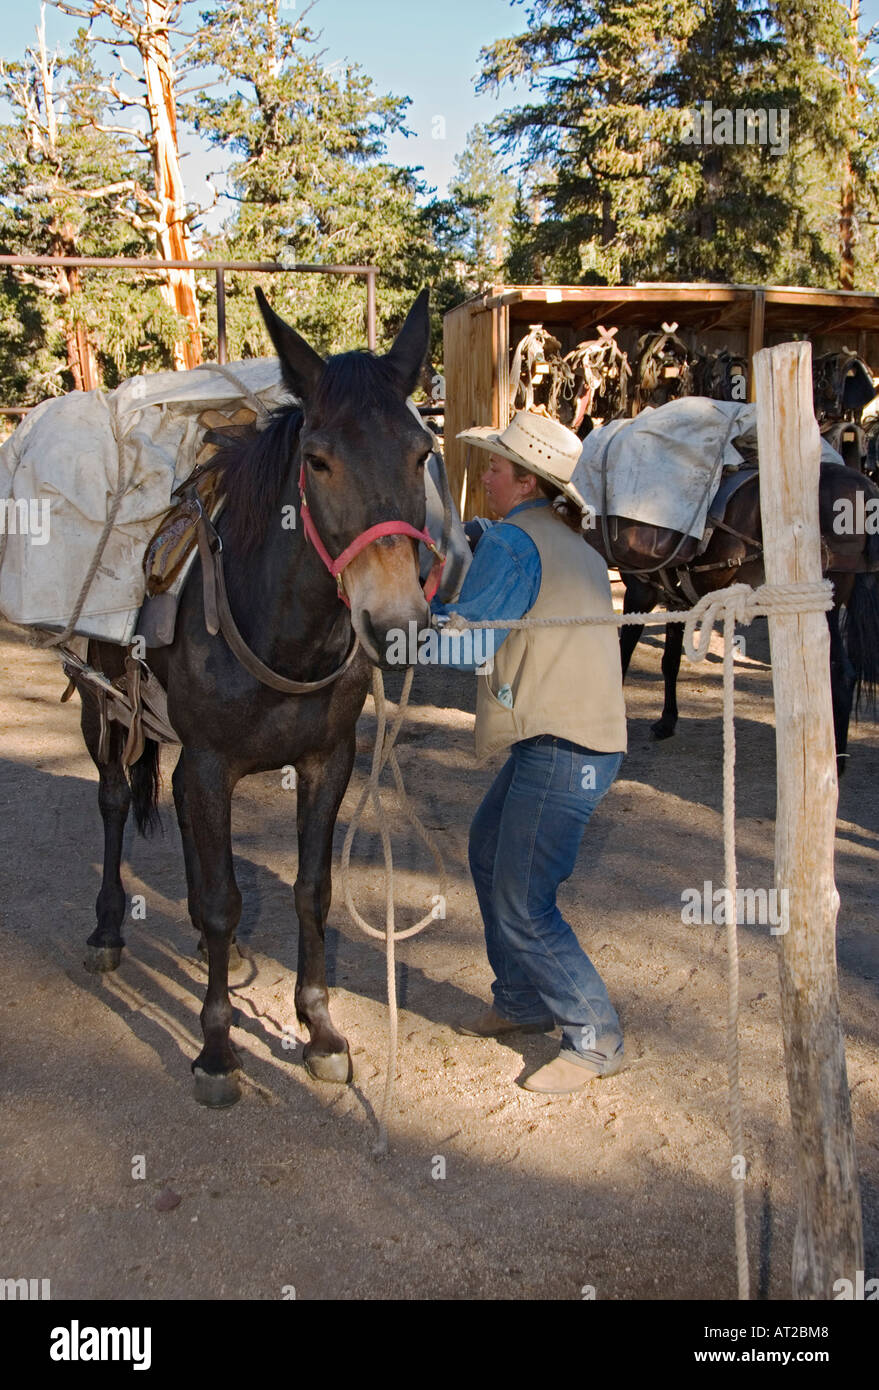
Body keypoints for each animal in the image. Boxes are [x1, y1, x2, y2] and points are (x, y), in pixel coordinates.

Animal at [70, 288, 440, 1107]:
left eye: (422, 453)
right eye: (318, 460)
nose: (395, 623)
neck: (281, 631)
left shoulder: (327, 760)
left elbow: (310, 891)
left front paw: (320, 1032)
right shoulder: (210, 764)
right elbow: (220, 898)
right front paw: (215, 1049)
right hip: (100, 707)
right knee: (112, 801)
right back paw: (109, 930)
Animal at [612, 464, 879, 774]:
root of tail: (865, 487)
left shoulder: (640, 594)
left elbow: (622, 657)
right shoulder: (675, 601)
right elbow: (670, 663)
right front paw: (667, 721)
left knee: (840, 672)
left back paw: (834, 761)